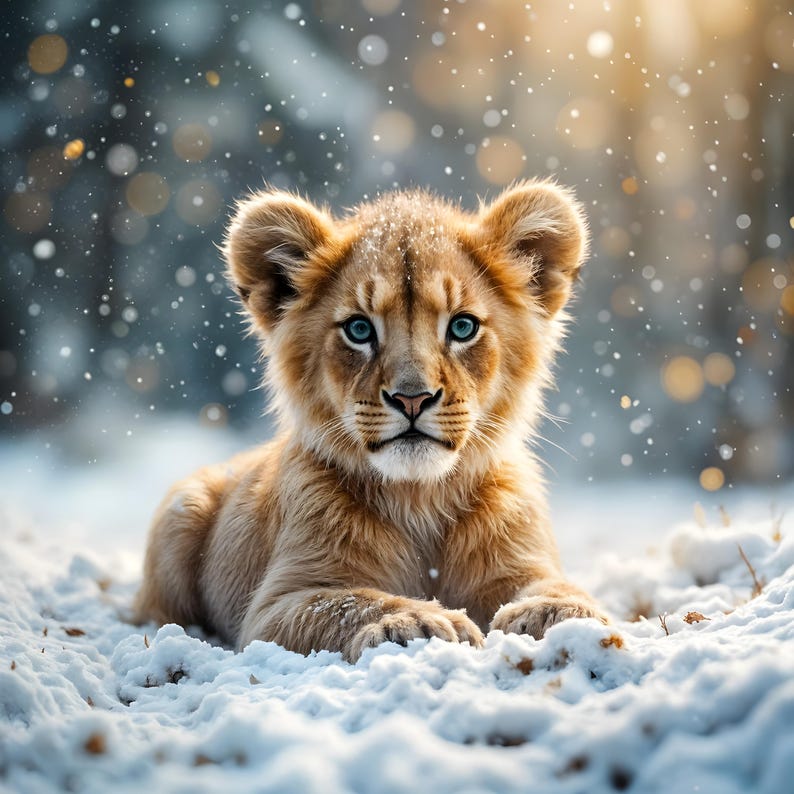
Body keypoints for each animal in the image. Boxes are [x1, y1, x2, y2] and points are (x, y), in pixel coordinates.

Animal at [134, 180, 608, 661]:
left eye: (463, 327)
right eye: (359, 330)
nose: (413, 398)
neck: (420, 499)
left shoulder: (522, 563)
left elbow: (558, 586)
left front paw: (557, 612)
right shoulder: (276, 605)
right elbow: (348, 602)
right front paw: (418, 620)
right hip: (181, 511)